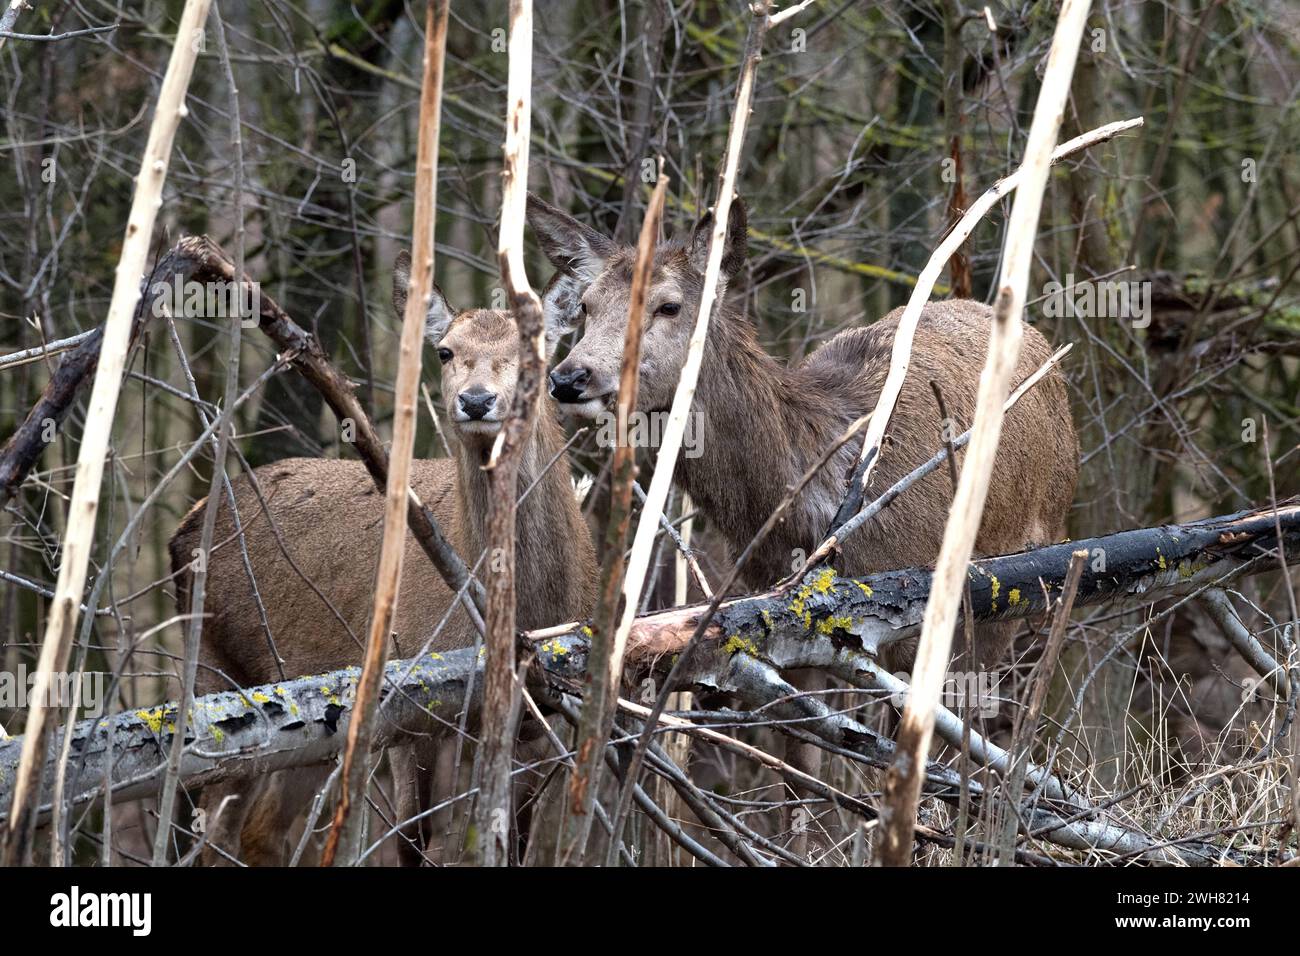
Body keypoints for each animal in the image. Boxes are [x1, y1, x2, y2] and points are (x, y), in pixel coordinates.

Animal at [170, 254, 596, 865]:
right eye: (444, 351)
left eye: (533, 350)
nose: (476, 400)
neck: (538, 606)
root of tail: (184, 529)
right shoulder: (411, 701)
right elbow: (411, 841)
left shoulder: (546, 721)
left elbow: (513, 840)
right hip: (215, 670)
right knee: (215, 826)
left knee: (259, 829)